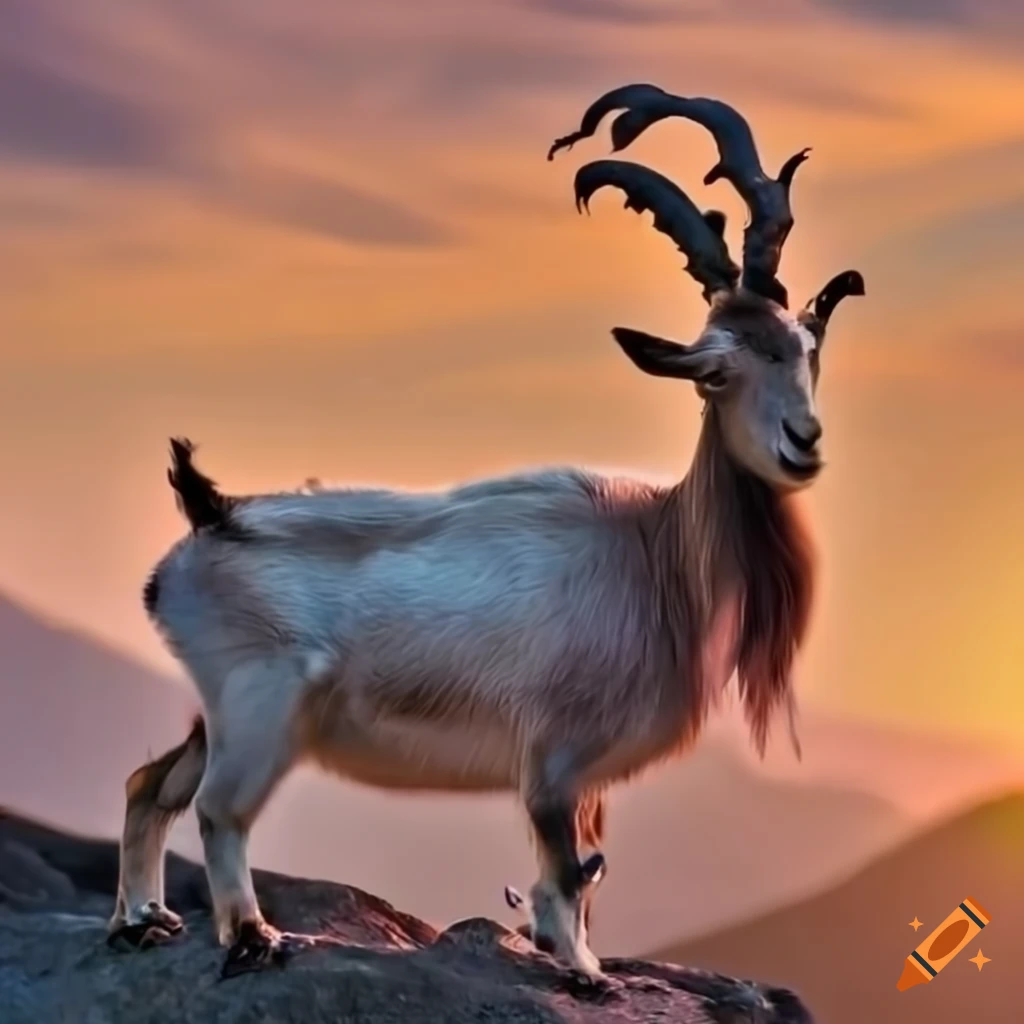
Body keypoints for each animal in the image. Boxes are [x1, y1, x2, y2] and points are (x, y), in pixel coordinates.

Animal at [108, 83, 864, 980]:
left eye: (807, 347)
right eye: (714, 371)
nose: (802, 442)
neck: (657, 557)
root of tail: (210, 515)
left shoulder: (588, 781)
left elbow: (587, 871)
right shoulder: (556, 763)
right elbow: (566, 870)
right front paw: (581, 971)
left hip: (212, 710)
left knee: (150, 783)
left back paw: (142, 921)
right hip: (260, 706)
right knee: (219, 809)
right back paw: (254, 936)